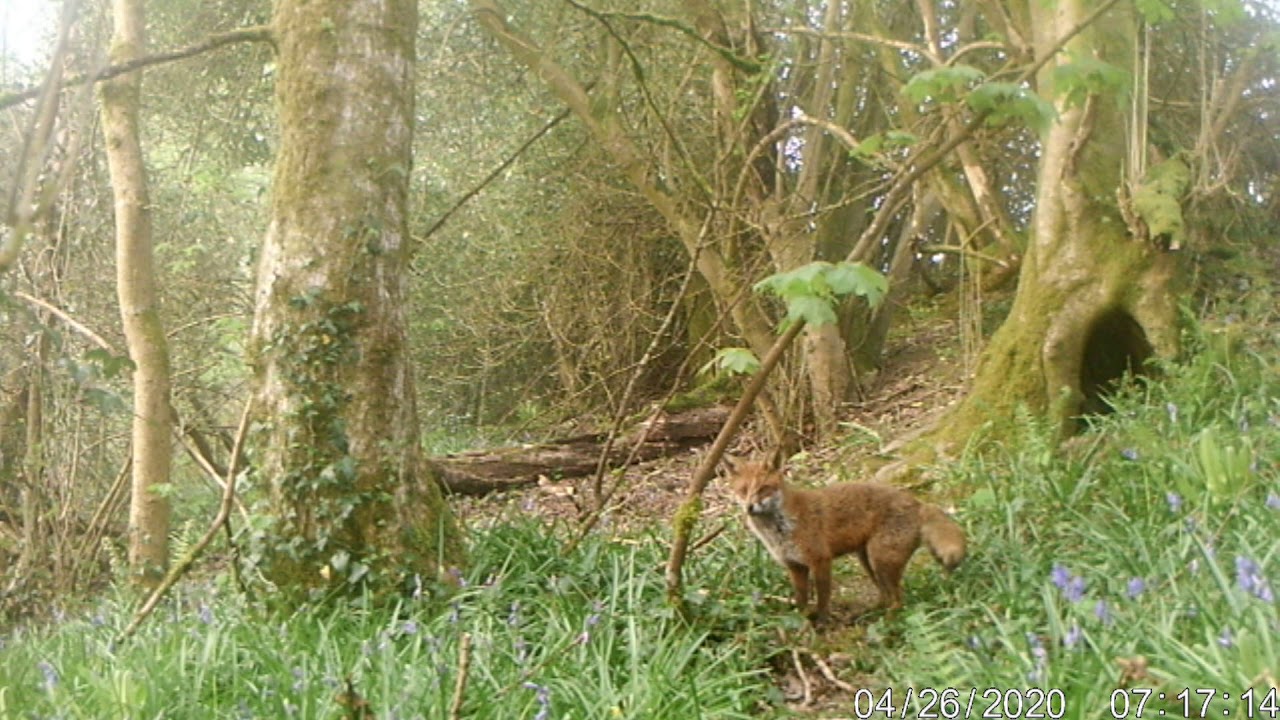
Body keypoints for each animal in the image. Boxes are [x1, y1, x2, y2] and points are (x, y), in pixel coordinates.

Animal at [725, 451, 965, 623]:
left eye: (764, 488)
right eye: (743, 490)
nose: (749, 507)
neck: (780, 529)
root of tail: (918, 503)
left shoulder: (820, 560)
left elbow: (823, 598)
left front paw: (822, 624)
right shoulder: (795, 567)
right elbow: (801, 601)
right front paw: (802, 624)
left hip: (881, 561)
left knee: (898, 600)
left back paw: (887, 624)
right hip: (867, 561)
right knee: (886, 597)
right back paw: (868, 615)